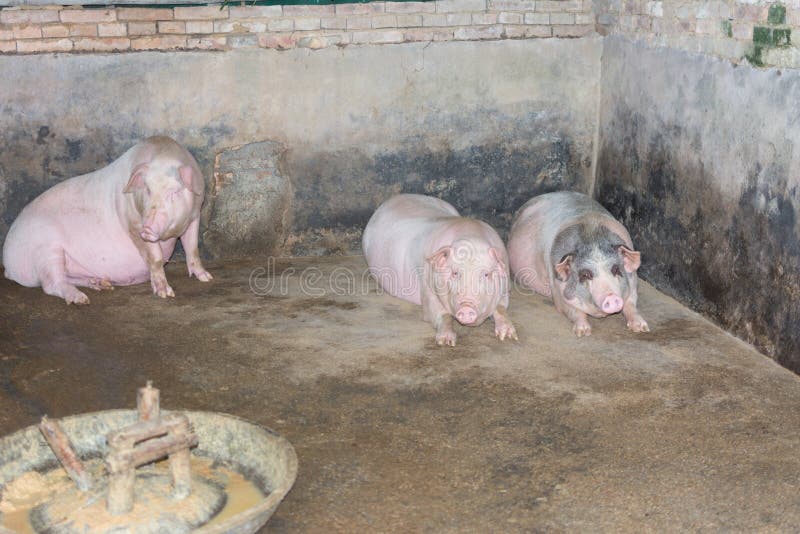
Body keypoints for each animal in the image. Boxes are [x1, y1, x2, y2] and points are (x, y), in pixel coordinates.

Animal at [2, 136, 213, 304]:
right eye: (146, 189)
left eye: (174, 192)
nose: (147, 228)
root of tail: (7, 260)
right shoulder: (133, 222)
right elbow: (156, 258)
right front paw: (165, 294)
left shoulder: (195, 216)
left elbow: (192, 248)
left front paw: (206, 278)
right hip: (45, 249)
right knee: (51, 283)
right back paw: (81, 299)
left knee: (65, 278)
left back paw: (101, 284)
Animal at [362, 193, 517, 346]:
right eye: (455, 273)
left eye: (486, 274)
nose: (467, 307)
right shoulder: (427, 288)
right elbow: (443, 314)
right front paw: (446, 342)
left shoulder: (505, 290)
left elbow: (501, 309)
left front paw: (509, 336)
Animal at [507, 191, 649, 337]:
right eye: (586, 274)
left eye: (615, 269)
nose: (611, 297)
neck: (593, 239)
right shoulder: (558, 290)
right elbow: (573, 311)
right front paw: (583, 332)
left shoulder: (633, 281)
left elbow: (631, 305)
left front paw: (642, 328)